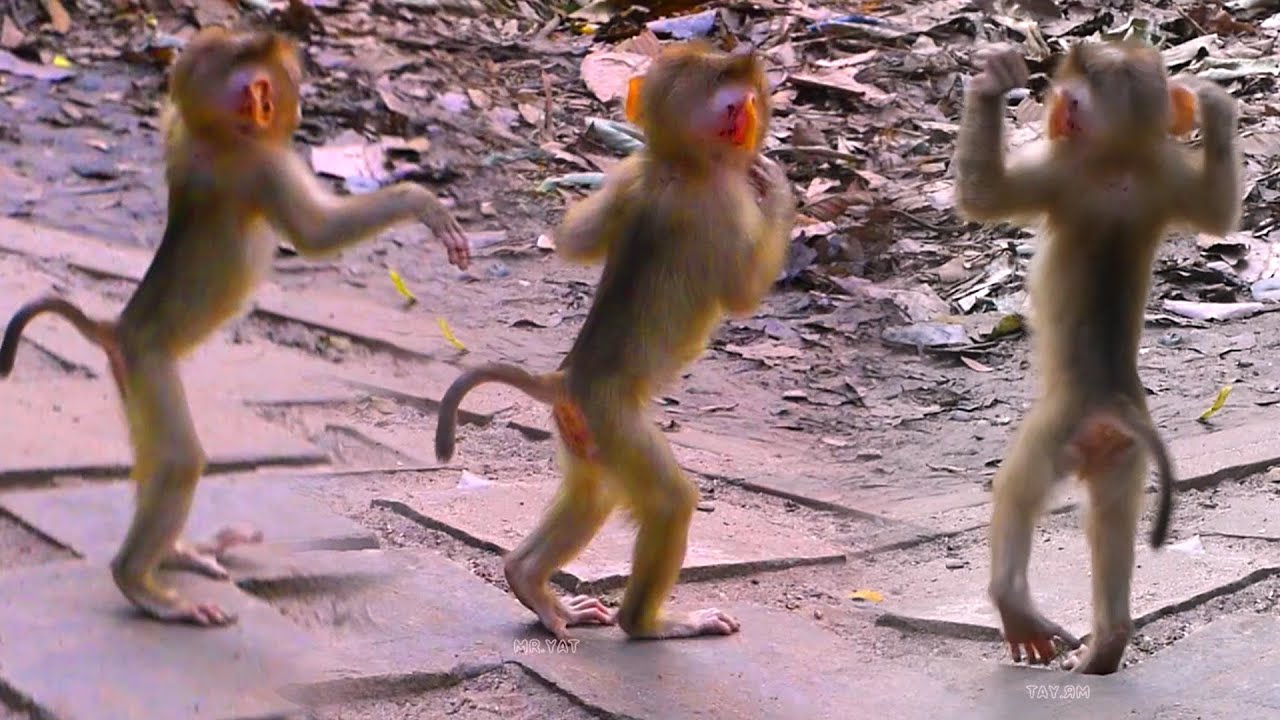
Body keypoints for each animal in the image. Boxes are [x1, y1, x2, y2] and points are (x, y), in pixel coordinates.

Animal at [0, 27, 471, 626]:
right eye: (290, 84)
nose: (301, 108)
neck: (217, 134)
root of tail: (118, 327)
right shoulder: (264, 167)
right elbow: (316, 236)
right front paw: (421, 201)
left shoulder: (179, 124)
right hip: (149, 365)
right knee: (180, 462)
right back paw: (140, 583)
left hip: (128, 376)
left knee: (154, 458)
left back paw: (173, 553)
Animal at [433, 42, 796, 641]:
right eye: (733, 84)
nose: (748, 53)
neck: (678, 164)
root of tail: (566, 378)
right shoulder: (722, 206)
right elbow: (742, 295)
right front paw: (778, 188)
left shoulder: (629, 173)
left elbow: (571, 242)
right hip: (614, 417)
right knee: (670, 502)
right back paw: (648, 623)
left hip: (582, 429)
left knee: (594, 493)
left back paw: (528, 580)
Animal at [952, 39, 1241, 674]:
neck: (1122, 157)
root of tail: (1111, 399)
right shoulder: (1169, 175)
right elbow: (1219, 216)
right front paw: (1214, 106)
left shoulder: (1056, 170)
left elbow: (982, 194)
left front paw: (991, 83)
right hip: (1123, 455)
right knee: (1110, 523)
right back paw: (1109, 642)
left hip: (1055, 430)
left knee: (1017, 490)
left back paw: (1014, 605)